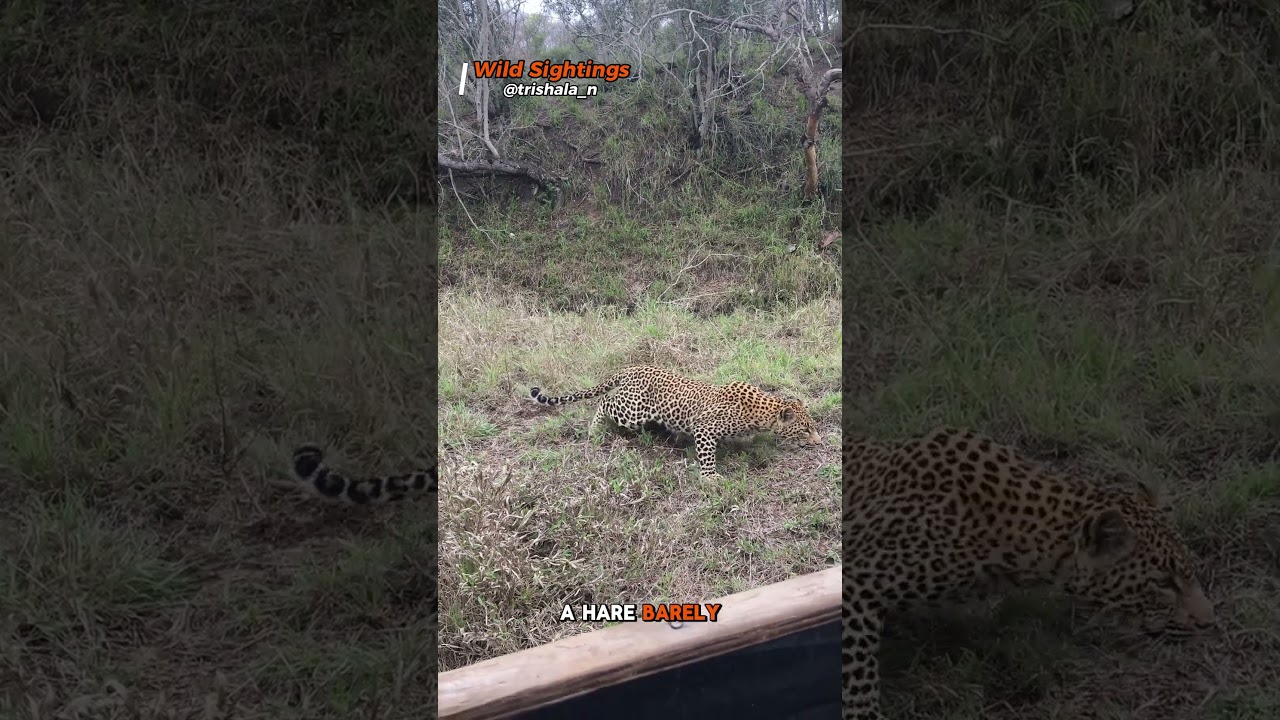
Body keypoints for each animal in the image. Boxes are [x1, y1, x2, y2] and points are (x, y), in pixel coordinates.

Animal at [527, 365, 823, 480]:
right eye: (806, 429)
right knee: (605, 402)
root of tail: (632, 367)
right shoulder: (704, 427)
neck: (761, 411)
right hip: (631, 410)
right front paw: (710, 478)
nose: (819, 442)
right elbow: (707, 455)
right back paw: (595, 429)